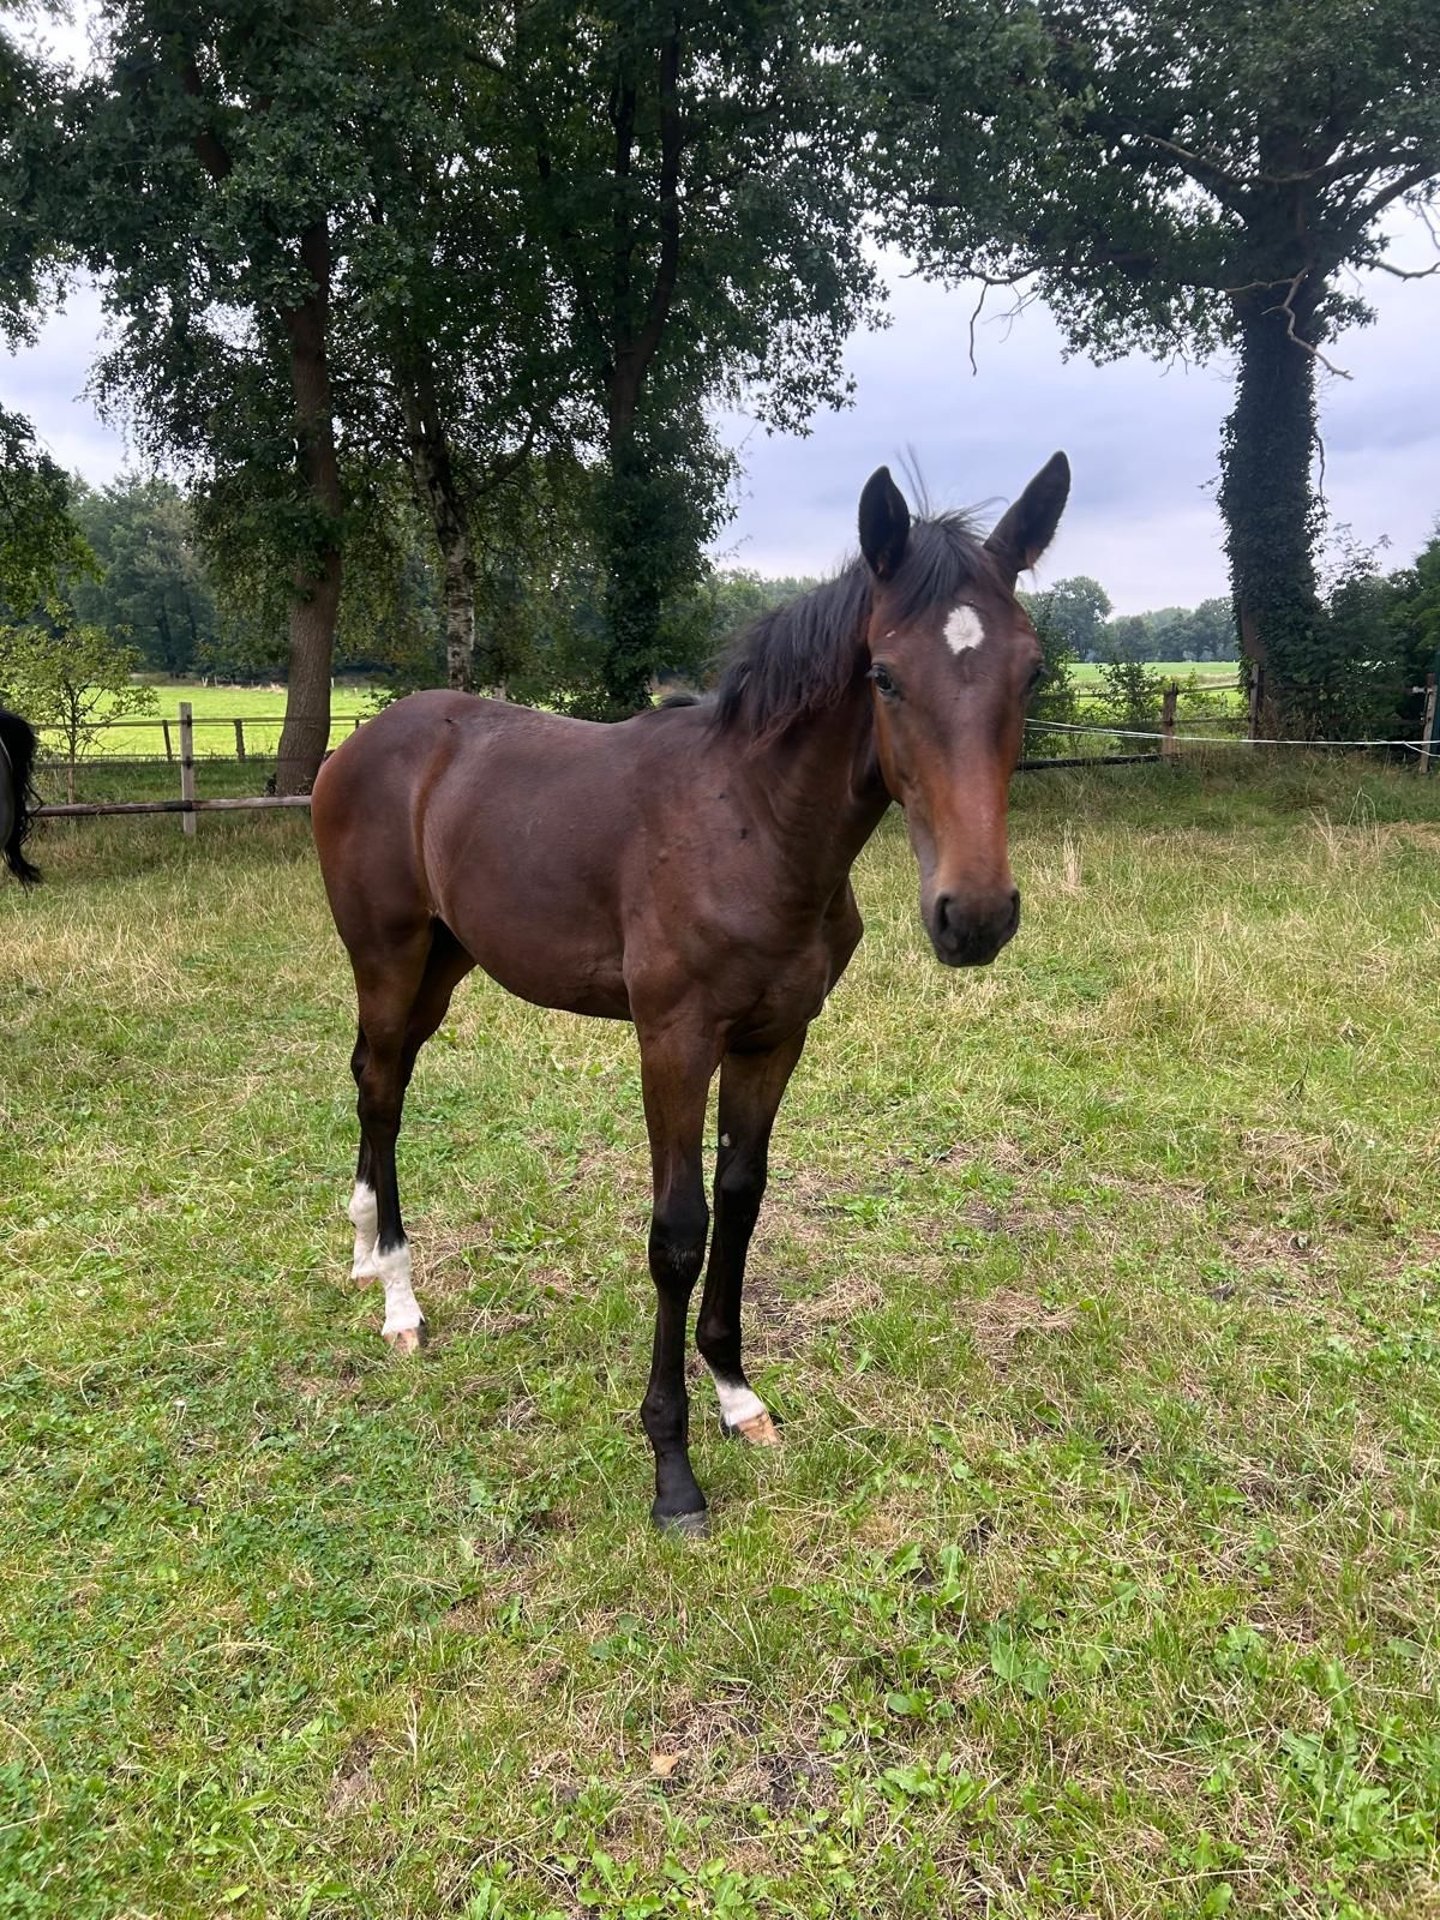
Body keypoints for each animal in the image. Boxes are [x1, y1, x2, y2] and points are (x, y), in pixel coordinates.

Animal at [312, 454, 1070, 1533]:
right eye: (884, 674)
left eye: (1031, 672)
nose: (975, 915)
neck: (752, 824)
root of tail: (362, 740)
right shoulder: (673, 1038)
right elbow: (679, 1232)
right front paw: (672, 1467)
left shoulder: (775, 1036)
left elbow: (742, 1201)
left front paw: (738, 1394)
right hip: (386, 952)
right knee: (380, 1086)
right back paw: (400, 1299)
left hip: (445, 964)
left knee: (382, 1078)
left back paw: (368, 1244)